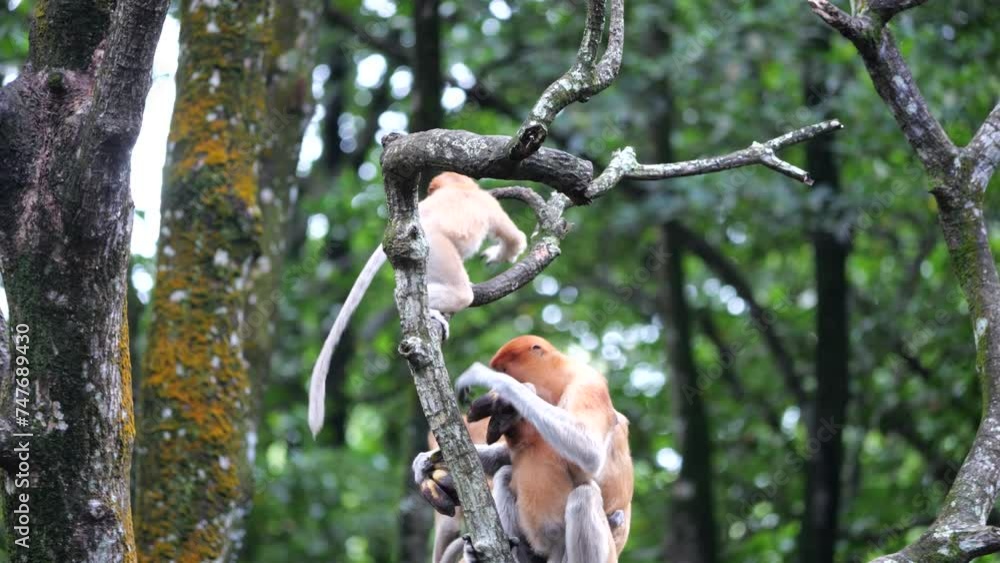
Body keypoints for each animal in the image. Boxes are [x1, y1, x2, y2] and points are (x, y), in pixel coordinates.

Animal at [308, 172, 528, 438]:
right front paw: (498, 254)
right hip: (438, 248)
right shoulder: (488, 204)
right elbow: (514, 238)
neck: (458, 188)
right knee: (461, 294)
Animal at [415, 336, 633, 563]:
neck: (559, 382)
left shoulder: (588, 385)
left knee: (585, 497)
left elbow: (589, 449)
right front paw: (423, 463)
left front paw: (492, 379)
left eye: (504, 370)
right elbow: (506, 457)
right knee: (505, 473)